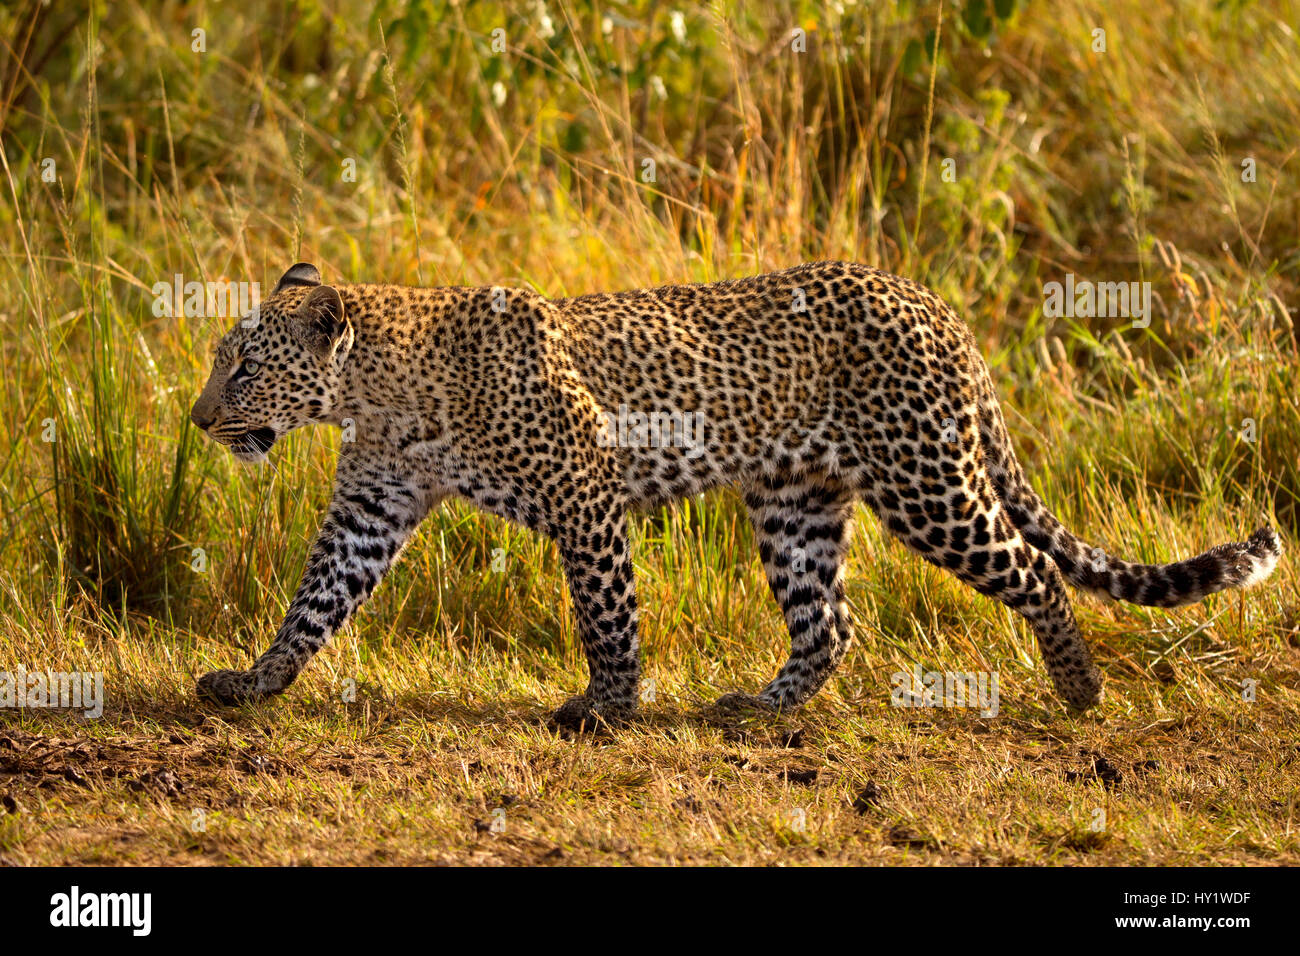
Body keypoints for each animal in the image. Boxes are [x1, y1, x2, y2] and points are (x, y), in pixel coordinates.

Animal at [192, 260, 1281, 728]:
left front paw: (607, 706)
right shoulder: (370, 508)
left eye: (242, 367)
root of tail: (934, 303)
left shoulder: (587, 494)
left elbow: (605, 614)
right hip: (798, 500)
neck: (378, 392)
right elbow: (314, 600)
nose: (200, 419)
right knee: (830, 621)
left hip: (926, 480)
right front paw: (254, 681)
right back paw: (756, 707)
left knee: (1033, 575)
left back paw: (1081, 691)